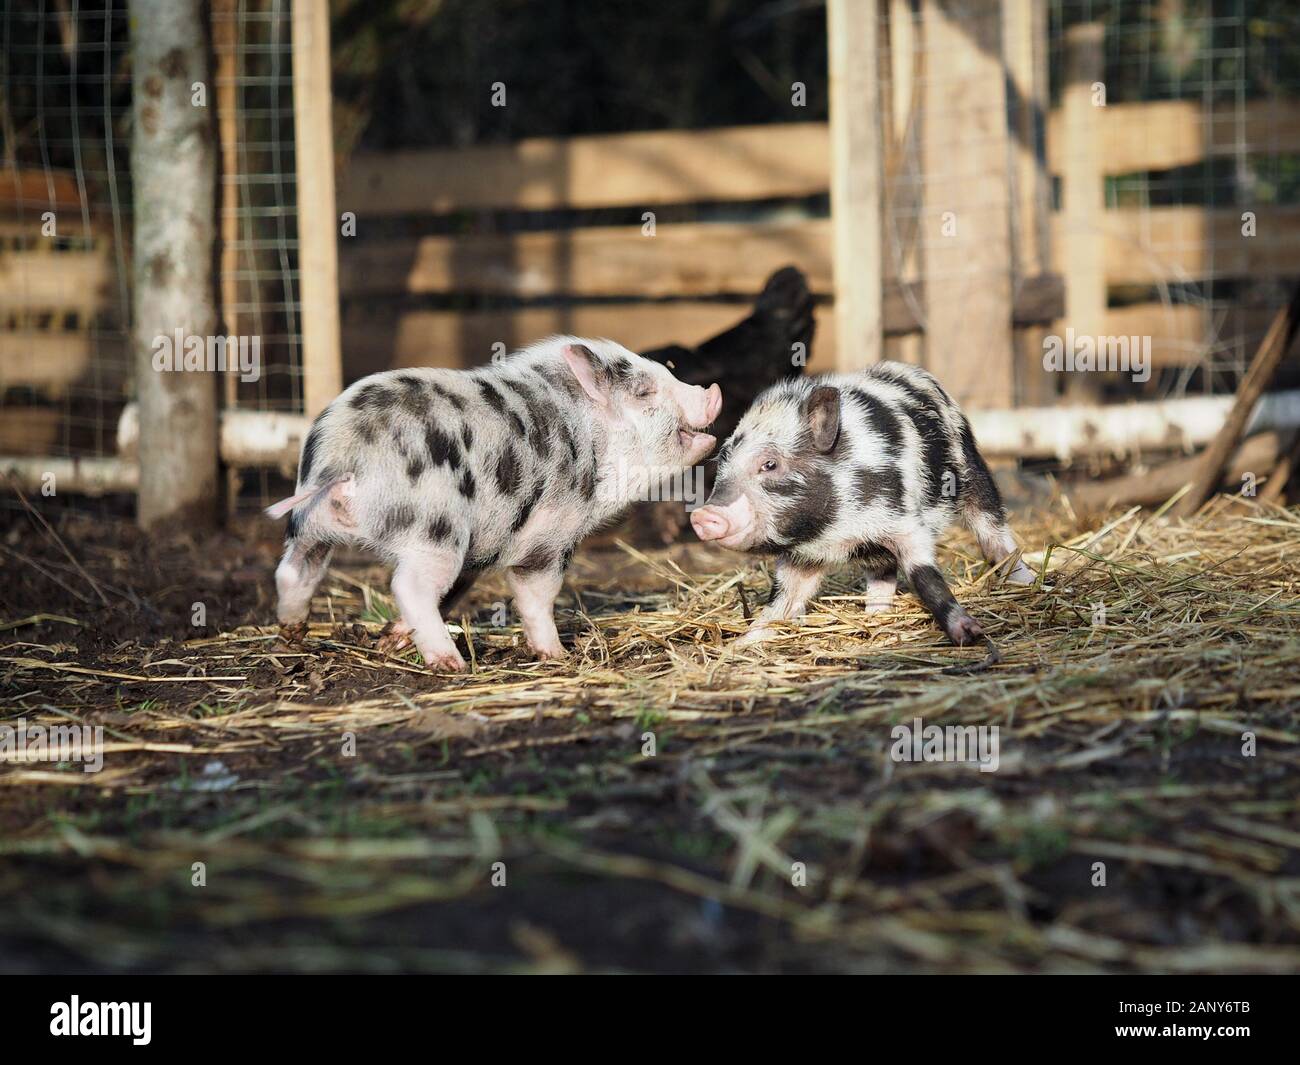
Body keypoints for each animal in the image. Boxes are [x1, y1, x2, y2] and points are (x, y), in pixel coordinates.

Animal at [266, 337, 722, 670]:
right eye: (645, 392)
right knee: (409, 586)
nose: (712, 391)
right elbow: (535, 595)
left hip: (311, 523)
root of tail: (345, 460)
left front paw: (390, 640)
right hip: (435, 530)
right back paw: (452, 665)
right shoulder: (551, 535)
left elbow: (455, 593)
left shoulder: (480, 552)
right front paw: (558, 656)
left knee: (294, 569)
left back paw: (293, 632)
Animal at [689, 362, 1033, 648]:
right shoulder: (802, 557)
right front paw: (739, 645)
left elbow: (925, 575)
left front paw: (970, 634)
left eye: (770, 464)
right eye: (722, 464)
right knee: (883, 574)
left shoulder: (905, 522)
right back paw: (875, 617)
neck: (836, 529)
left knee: (994, 531)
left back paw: (1027, 581)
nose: (703, 515)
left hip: (973, 470)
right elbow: (783, 601)